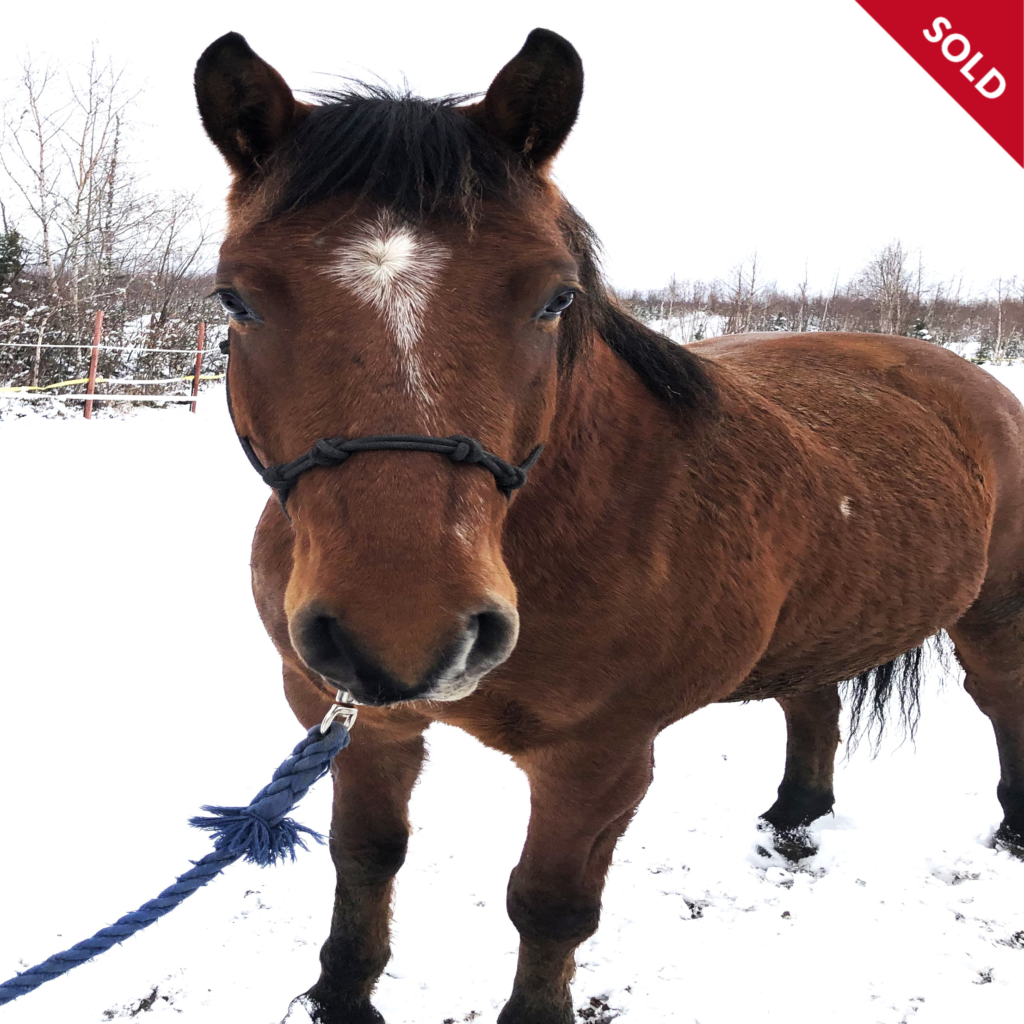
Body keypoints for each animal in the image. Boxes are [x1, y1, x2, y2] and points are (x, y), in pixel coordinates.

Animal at [194, 28, 1024, 1024]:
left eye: (553, 297)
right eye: (235, 299)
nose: (402, 633)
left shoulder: (598, 761)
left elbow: (549, 908)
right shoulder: (357, 721)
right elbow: (365, 859)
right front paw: (342, 996)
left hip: (995, 618)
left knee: (1002, 699)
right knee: (811, 702)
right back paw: (793, 820)